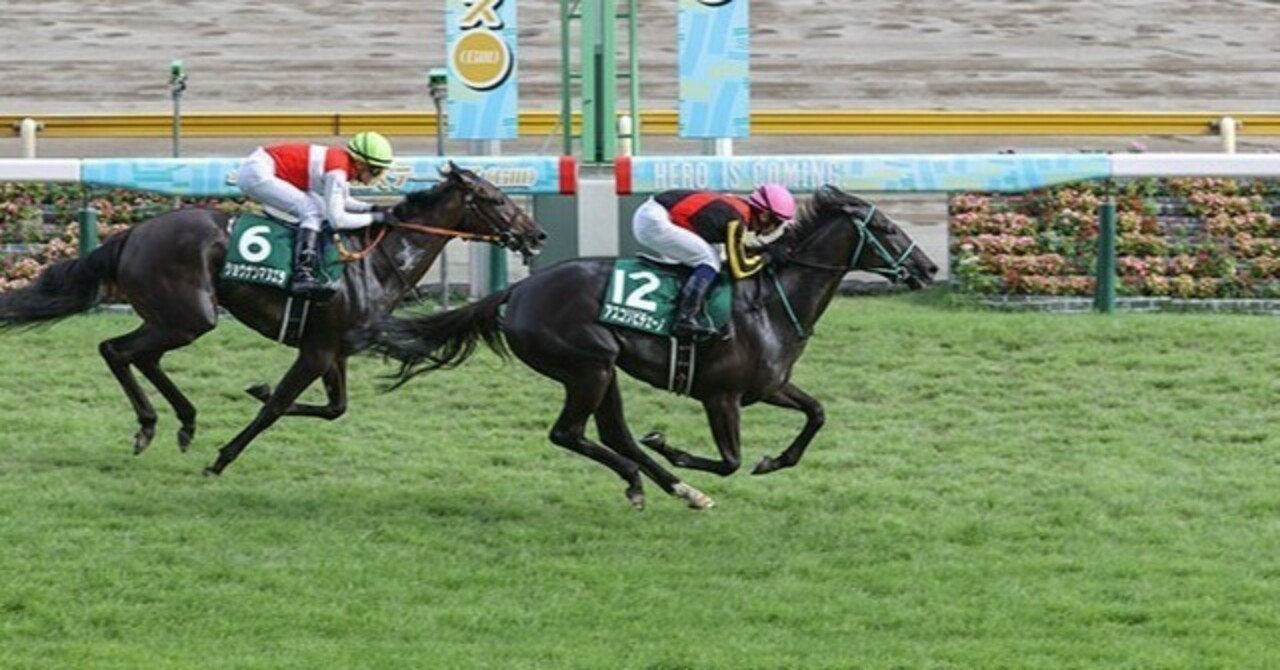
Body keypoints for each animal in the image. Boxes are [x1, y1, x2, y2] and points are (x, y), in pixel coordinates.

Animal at [0, 162, 545, 476]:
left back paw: (182, 422)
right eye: (495, 199)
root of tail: (133, 233)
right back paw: (152, 425)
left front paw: (254, 394)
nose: (536, 234)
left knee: (139, 355)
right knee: (117, 349)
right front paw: (222, 459)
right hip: (190, 315)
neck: (374, 261)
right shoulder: (316, 349)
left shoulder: (334, 349)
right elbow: (278, 407)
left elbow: (334, 409)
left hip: (177, 316)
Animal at [349, 185, 938, 510]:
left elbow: (816, 414)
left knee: (614, 434)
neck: (770, 303)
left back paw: (672, 489)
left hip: (603, 368)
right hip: (587, 365)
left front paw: (775, 461)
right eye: (887, 228)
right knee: (571, 434)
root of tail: (517, 290)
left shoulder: (770, 386)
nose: (930, 267)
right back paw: (651, 480)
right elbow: (729, 460)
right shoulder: (721, 396)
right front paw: (675, 446)